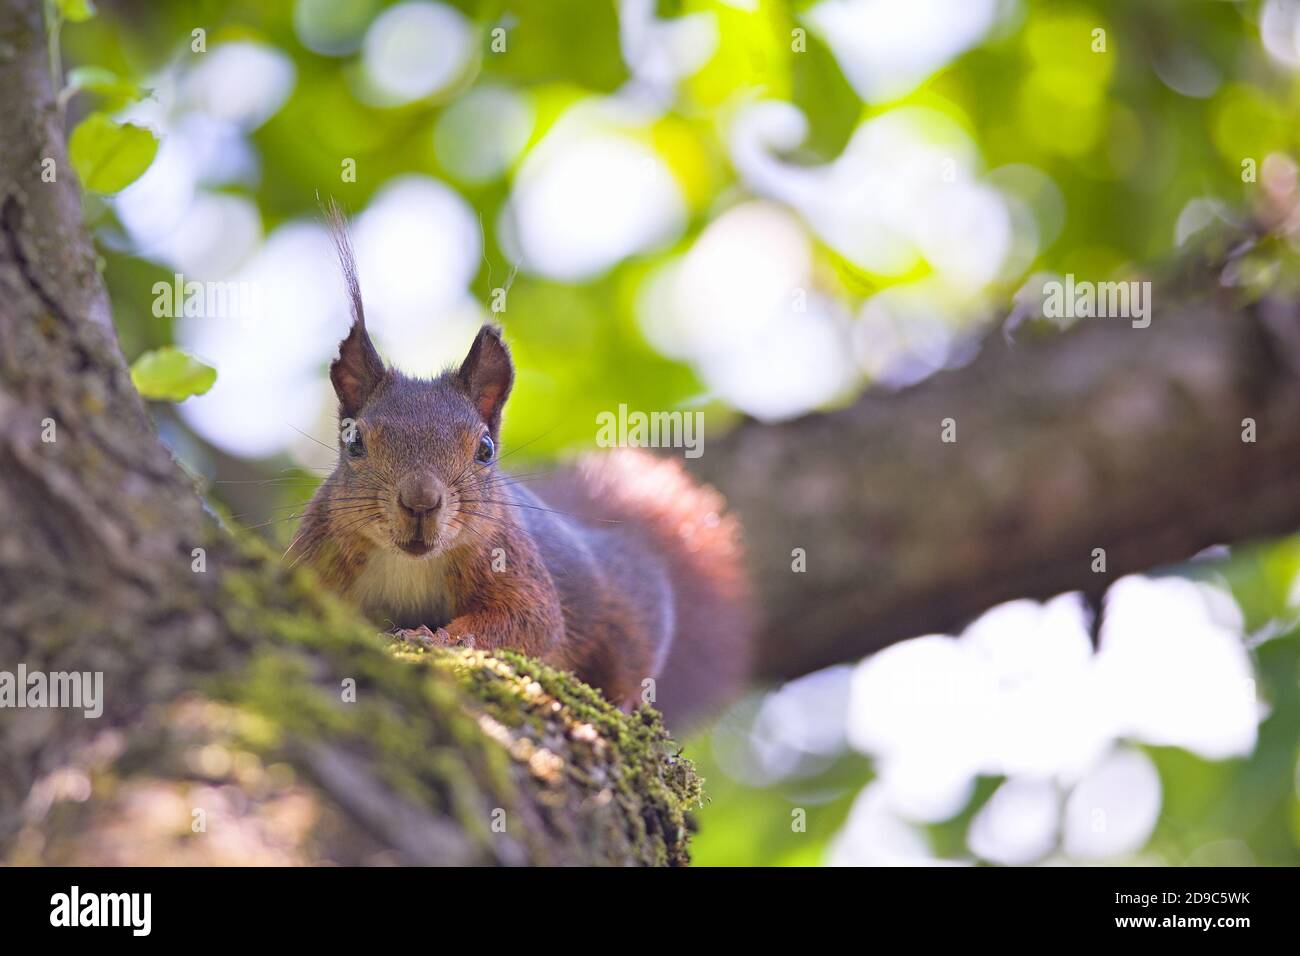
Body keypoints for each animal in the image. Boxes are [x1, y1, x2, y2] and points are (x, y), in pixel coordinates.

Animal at [290, 208, 752, 726]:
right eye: (354, 442)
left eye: (485, 449)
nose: (420, 502)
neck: (410, 562)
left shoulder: (510, 561)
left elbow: (529, 620)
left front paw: (440, 637)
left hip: (630, 607)